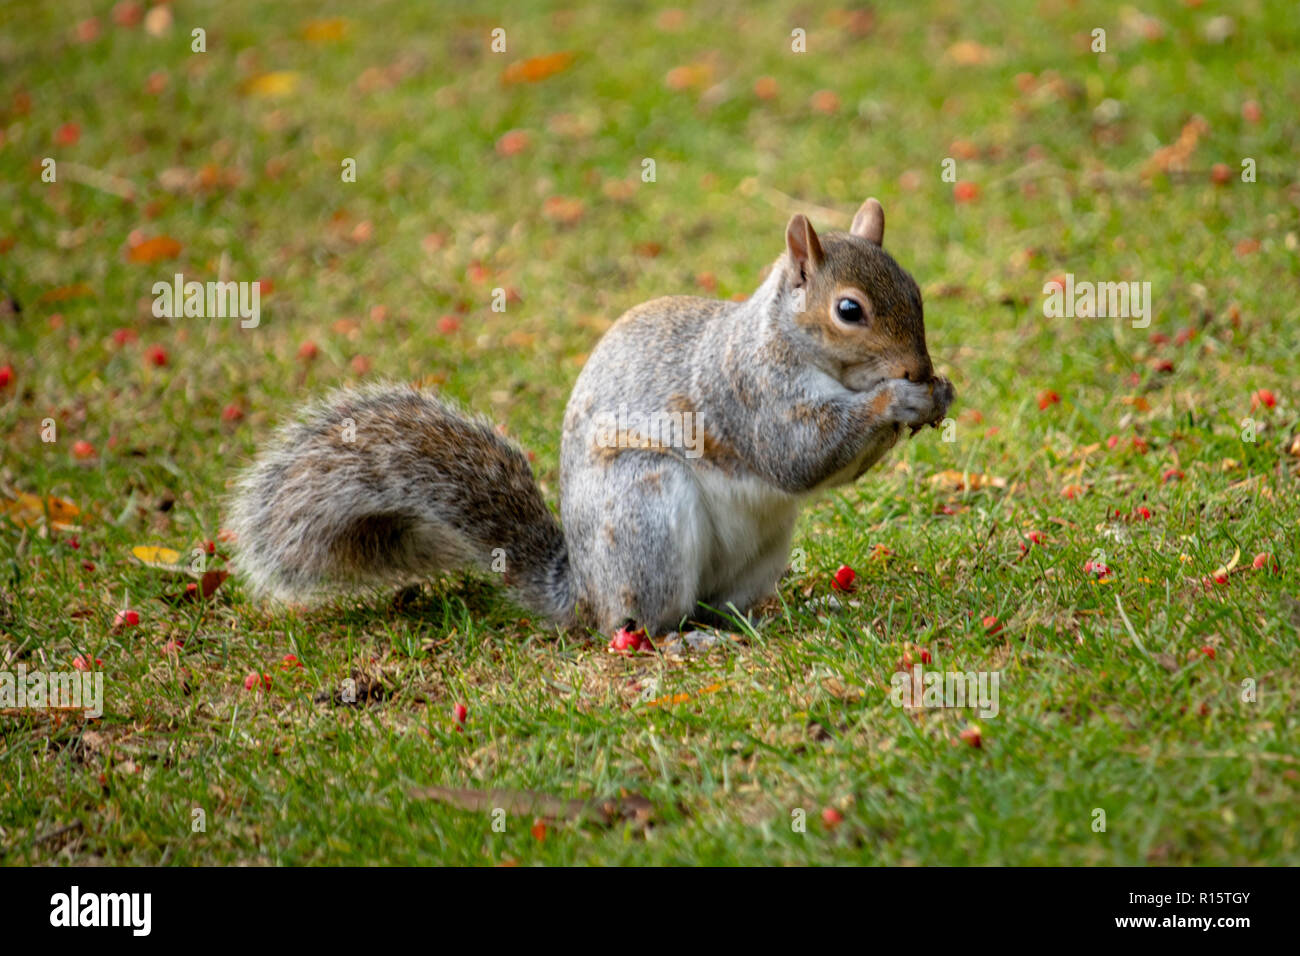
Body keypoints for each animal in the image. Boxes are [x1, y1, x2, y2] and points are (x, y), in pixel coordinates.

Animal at [228, 197, 955, 637]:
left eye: (916, 290)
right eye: (849, 310)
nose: (918, 367)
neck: (786, 341)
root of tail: (581, 589)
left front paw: (938, 392)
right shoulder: (747, 390)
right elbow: (799, 454)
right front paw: (897, 400)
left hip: (760, 550)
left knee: (714, 608)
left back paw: (757, 620)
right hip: (642, 513)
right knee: (638, 624)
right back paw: (675, 641)